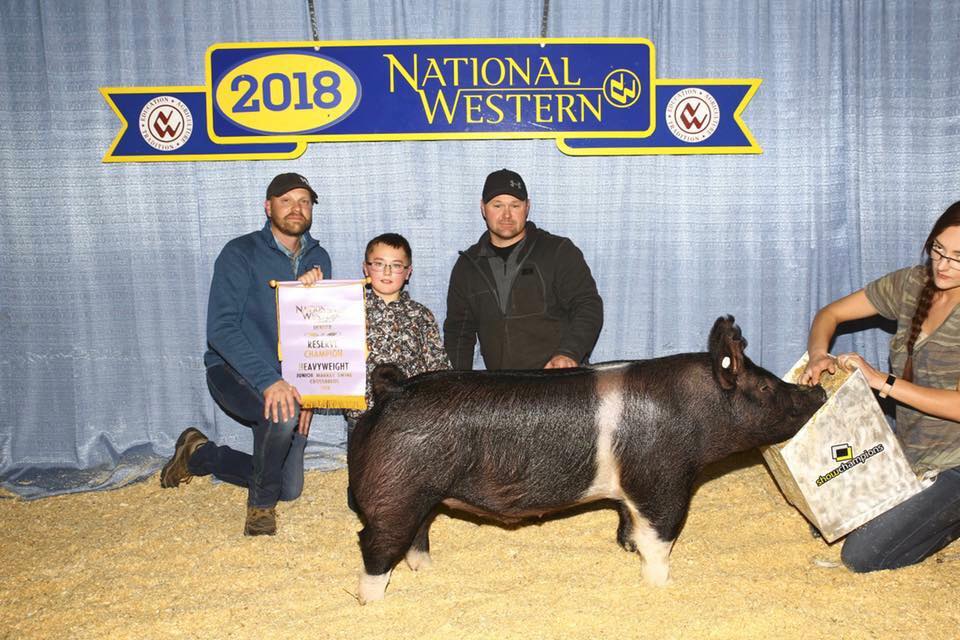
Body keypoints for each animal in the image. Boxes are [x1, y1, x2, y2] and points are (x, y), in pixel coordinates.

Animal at [348, 315, 825, 603]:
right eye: (764, 388)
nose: (818, 391)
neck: (697, 411)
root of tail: (393, 390)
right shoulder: (662, 481)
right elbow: (660, 539)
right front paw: (661, 588)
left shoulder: (631, 493)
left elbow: (628, 527)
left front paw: (628, 550)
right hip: (395, 489)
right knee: (375, 544)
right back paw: (374, 605)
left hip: (421, 493)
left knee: (417, 535)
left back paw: (427, 573)